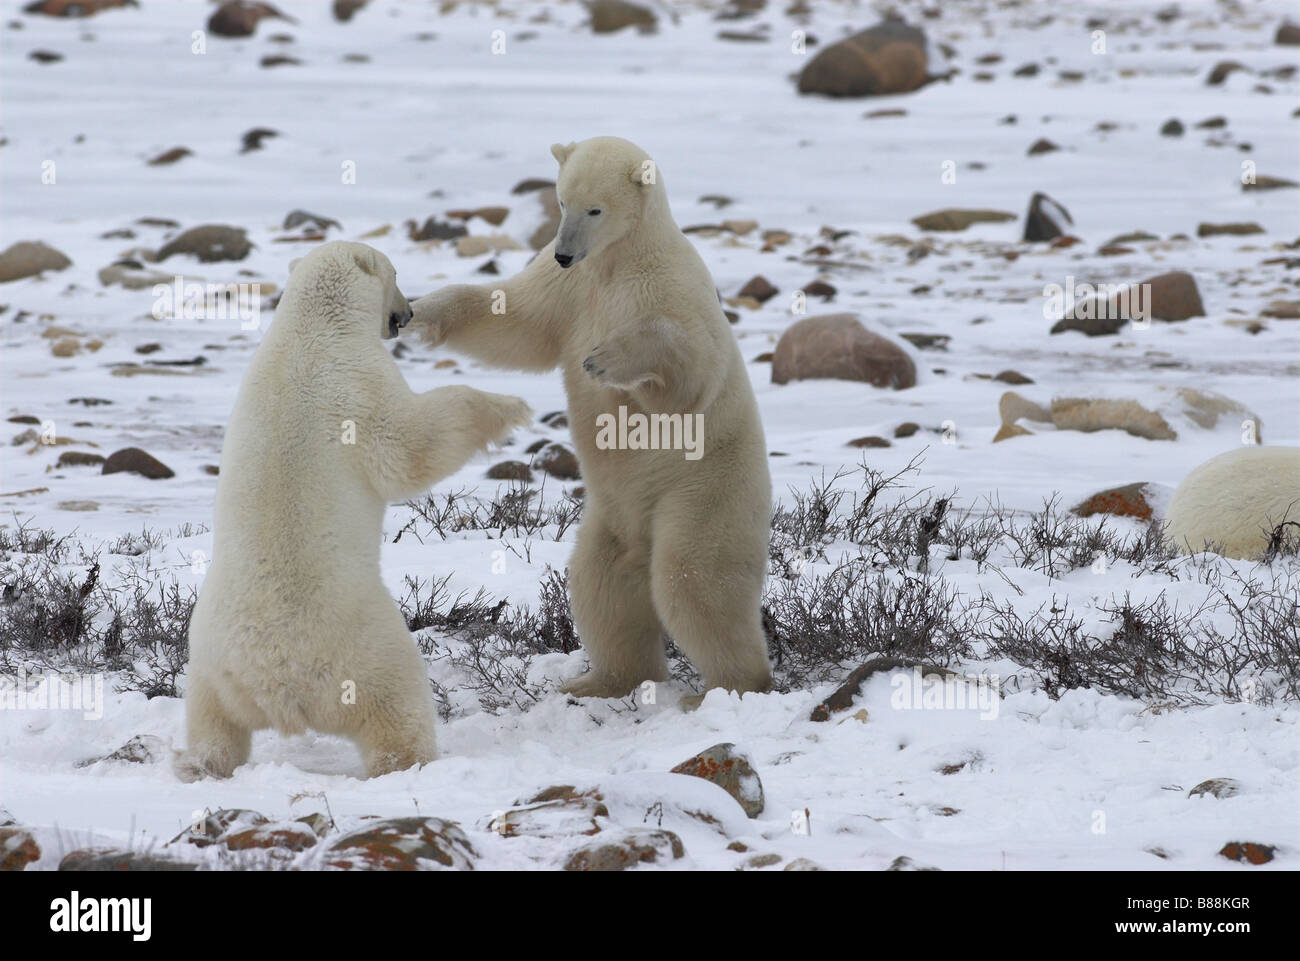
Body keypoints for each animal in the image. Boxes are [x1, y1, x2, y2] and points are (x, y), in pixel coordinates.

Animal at [174, 241, 532, 781]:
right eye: (397, 275)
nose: (407, 315)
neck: (310, 327)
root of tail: (280, 686)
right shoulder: (358, 382)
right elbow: (409, 444)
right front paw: (511, 406)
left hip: (212, 666)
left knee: (213, 722)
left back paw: (199, 763)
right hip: (363, 648)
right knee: (397, 700)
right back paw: (409, 762)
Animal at [412, 136, 773, 700]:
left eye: (595, 209)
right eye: (561, 201)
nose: (564, 252)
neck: (618, 258)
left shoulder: (669, 287)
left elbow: (692, 373)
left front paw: (606, 360)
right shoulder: (571, 290)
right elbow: (514, 320)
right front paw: (421, 310)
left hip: (704, 492)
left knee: (694, 581)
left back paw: (732, 687)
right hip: (612, 517)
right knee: (600, 583)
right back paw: (597, 682)